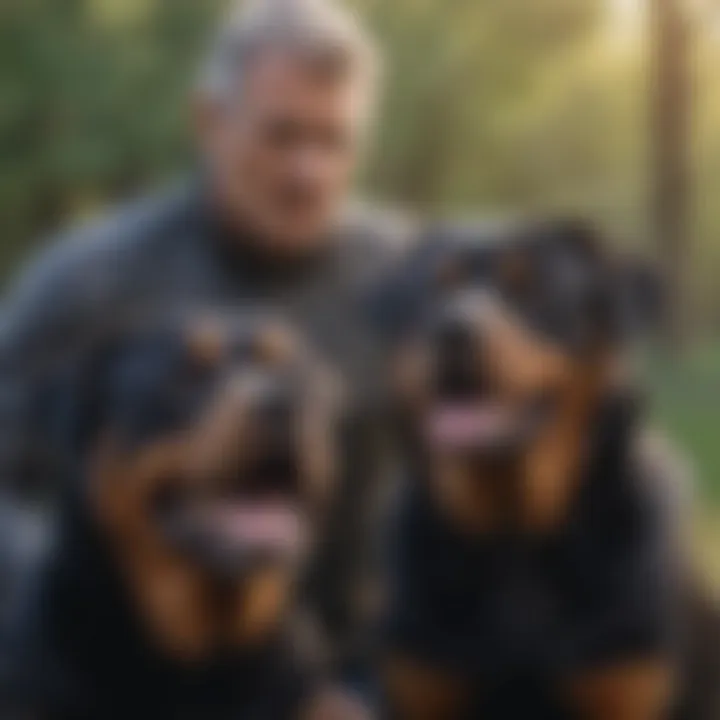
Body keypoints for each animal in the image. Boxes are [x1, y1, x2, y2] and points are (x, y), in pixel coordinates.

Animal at [376, 221, 720, 720]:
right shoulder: (422, 684)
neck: (515, 532)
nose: (451, 329)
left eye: (532, 288)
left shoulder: (623, 689)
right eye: (434, 291)